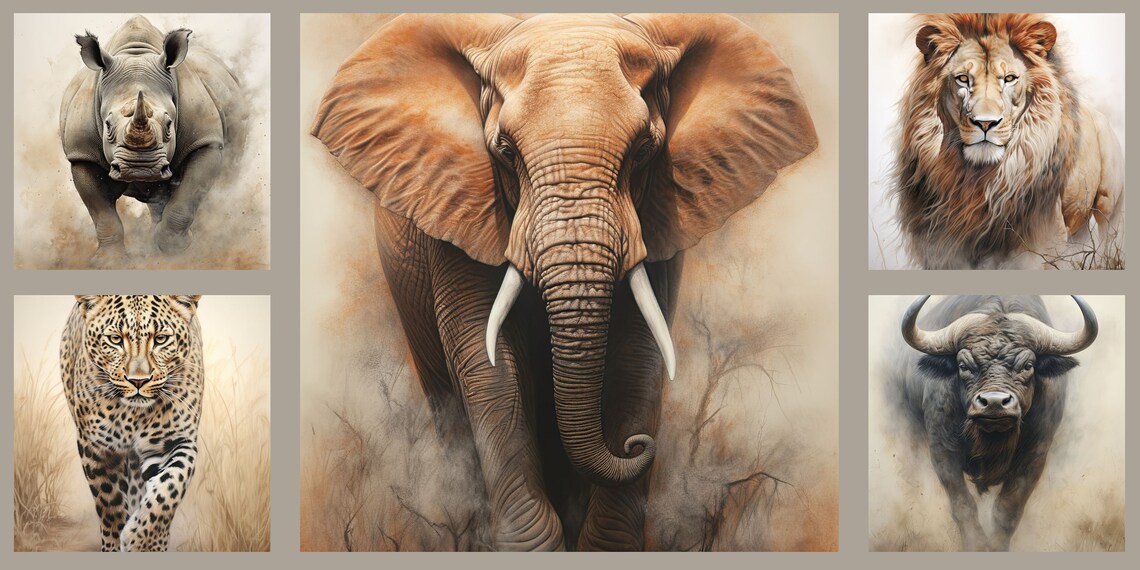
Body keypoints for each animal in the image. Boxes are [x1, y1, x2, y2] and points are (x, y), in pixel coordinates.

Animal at [60, 15, 245, 266]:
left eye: (169, 124)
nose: (140, 169)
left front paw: (175, 247)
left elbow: (187, 197)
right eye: (107, 125)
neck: (136, 53)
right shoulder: (81, 154)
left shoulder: (207, 142)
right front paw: (109, 263)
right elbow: (102, 213)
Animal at [311, 13, 817, 551]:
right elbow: (486, 363)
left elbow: (637, 355)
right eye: (505, 151)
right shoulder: (458, 207)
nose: (636, 446)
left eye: (644, 151)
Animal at [888, 295, 1098, 551]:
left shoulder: (1034, 457)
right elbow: (963, 505)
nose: (995, 402)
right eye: (963, 366)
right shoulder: (942, 451)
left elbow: (1008, 509)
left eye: (1028, 365)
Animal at [891, 13, 1123, 269]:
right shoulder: (939, 246)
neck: (976, 183)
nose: (985, 123)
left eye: (1009, 79)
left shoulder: (1044, 240)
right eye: (963, 79)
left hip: (1108, 205)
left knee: (1107, 238)